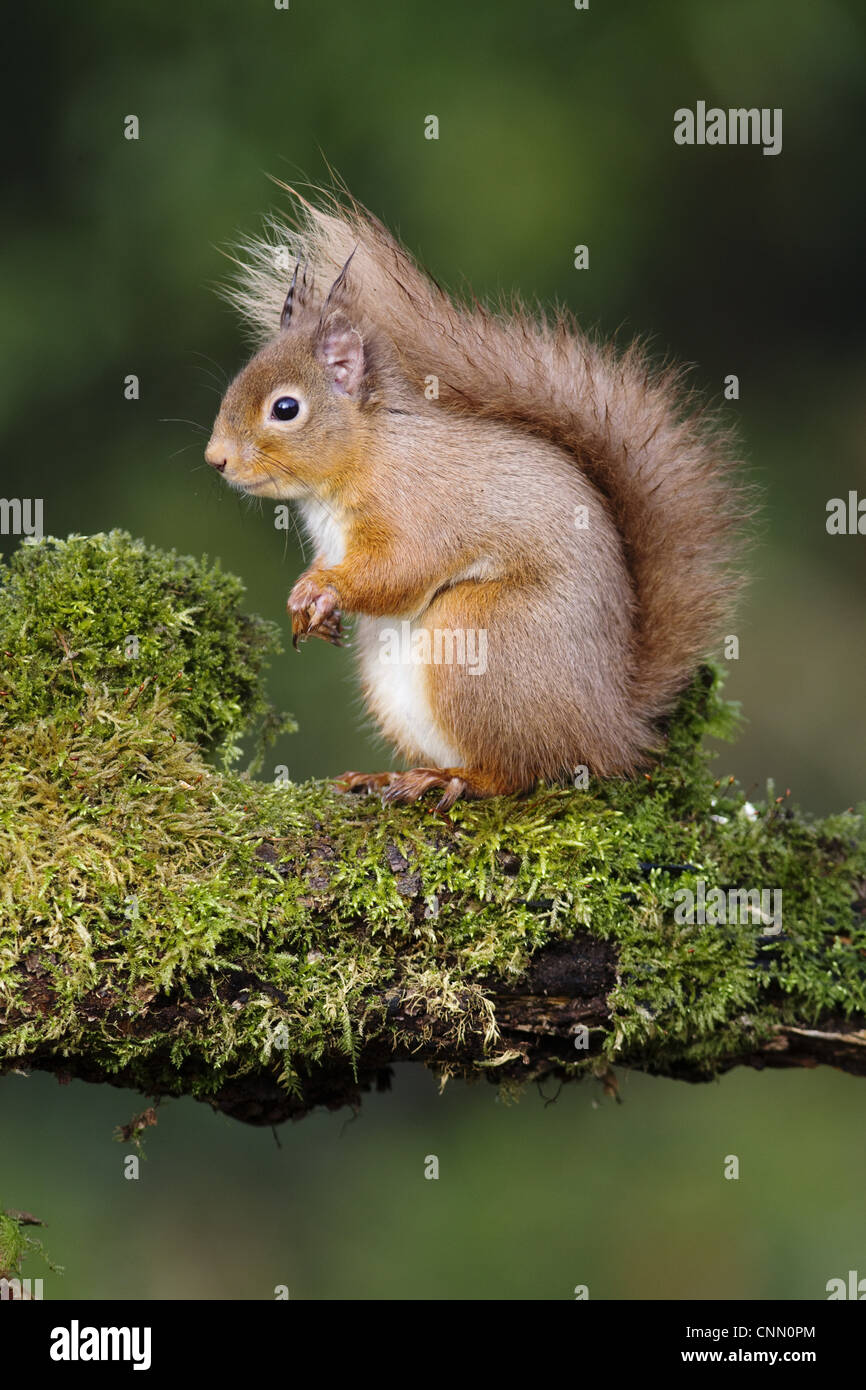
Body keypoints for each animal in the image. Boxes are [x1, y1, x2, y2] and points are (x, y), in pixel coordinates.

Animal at [205, 185, 748, 811]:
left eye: (286, 408)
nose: (215, 458)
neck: (362, 459)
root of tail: (611, 726)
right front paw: (311, 608)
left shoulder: (417, 508)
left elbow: (399, 571)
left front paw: (320, 590)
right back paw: (387, 777)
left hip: (482, 642)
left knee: (520, 772)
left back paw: (453, 780)